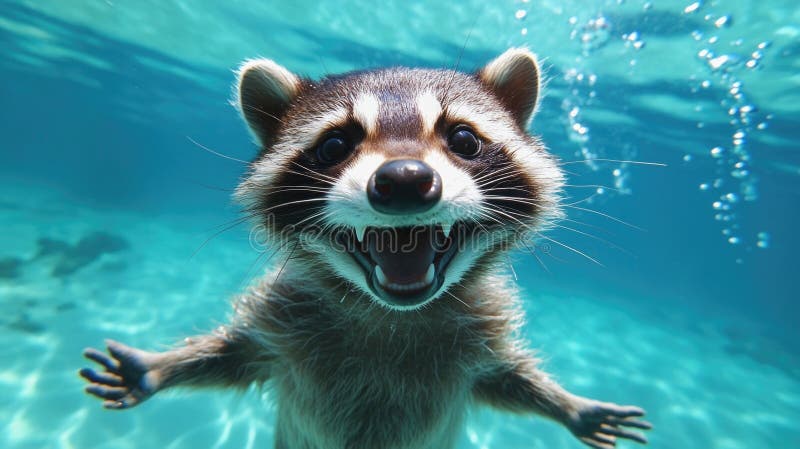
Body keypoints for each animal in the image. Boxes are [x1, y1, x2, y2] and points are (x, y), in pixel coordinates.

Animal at [80, 48, 650, 449]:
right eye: (335, 144)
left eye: (463, 139)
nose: (404, 180)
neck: (390, 314)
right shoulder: (283, 322)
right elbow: (234, 354)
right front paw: (160, 365)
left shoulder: (480, 342)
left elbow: (509, 379)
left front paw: (568, 404)